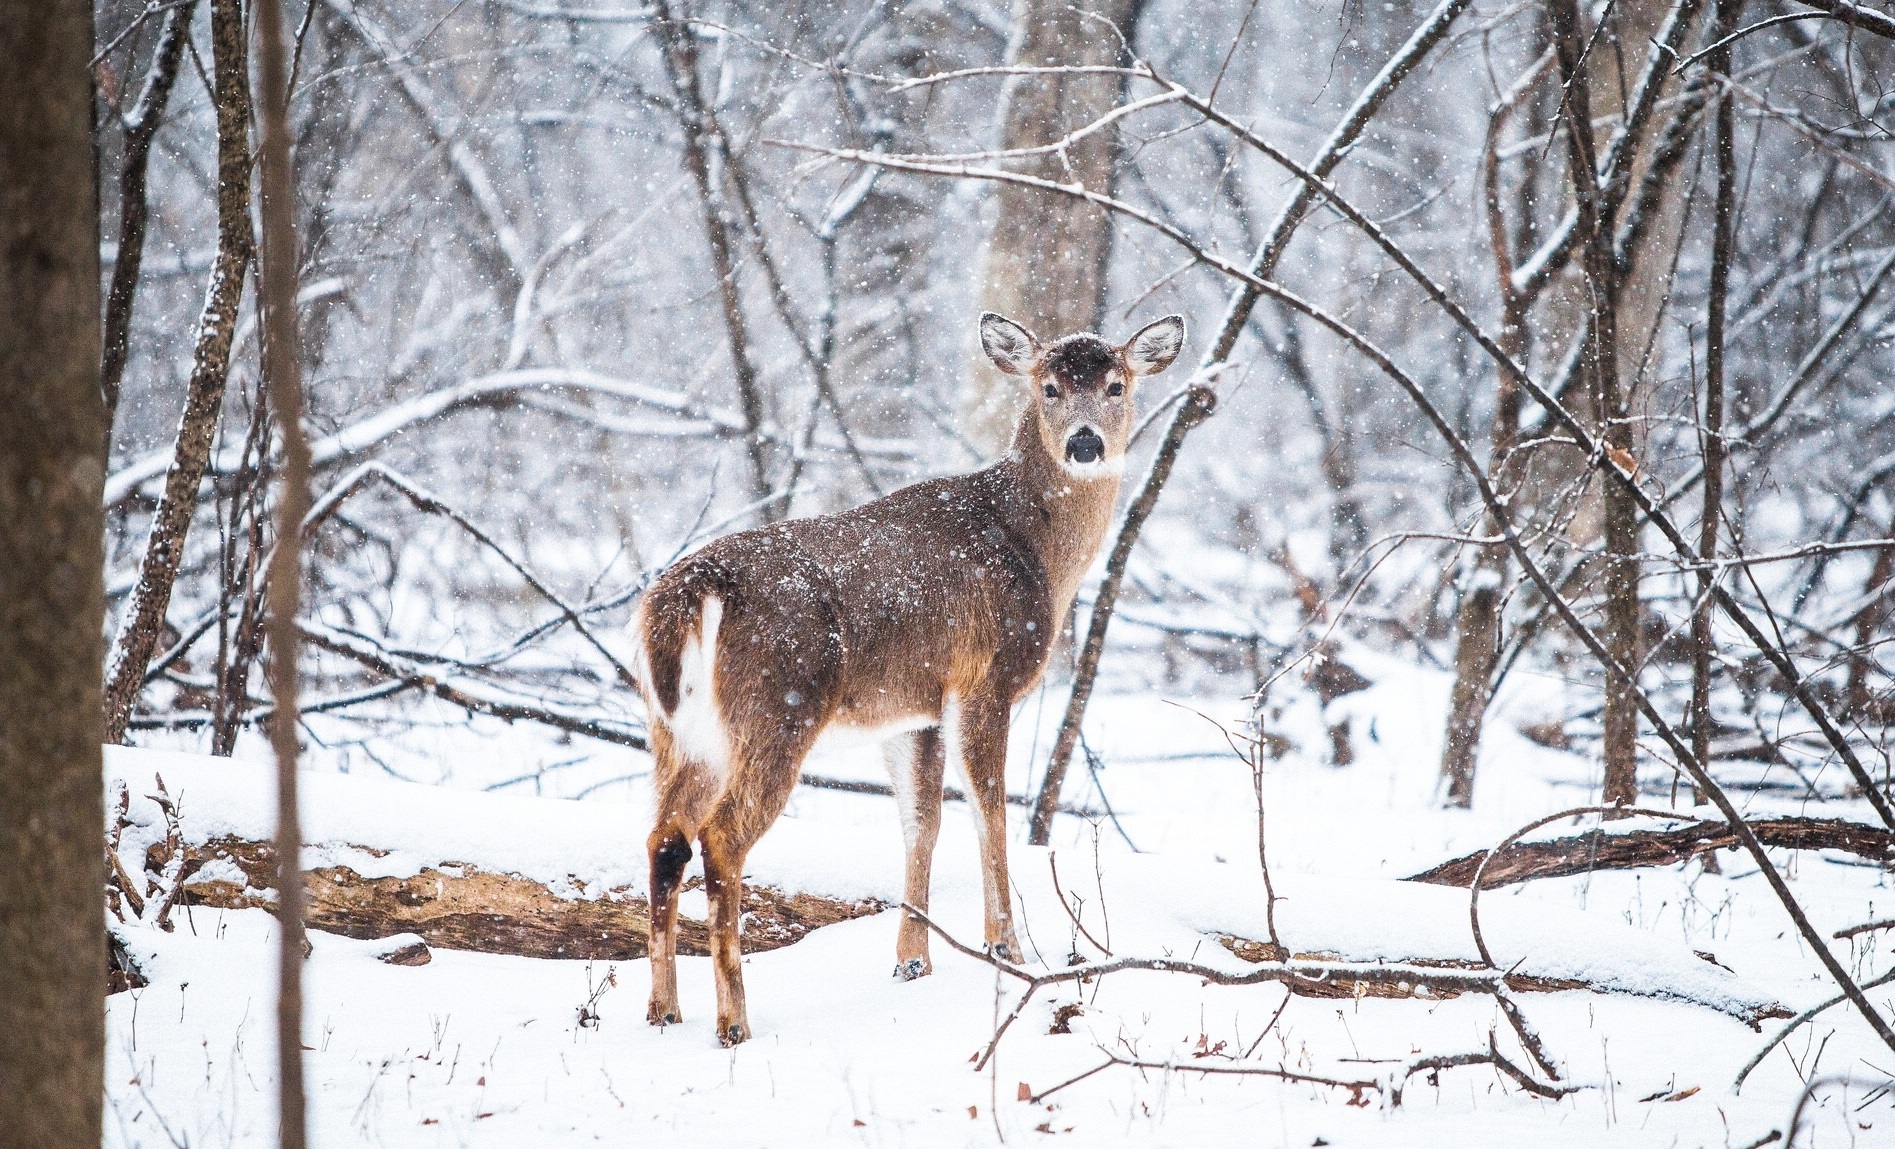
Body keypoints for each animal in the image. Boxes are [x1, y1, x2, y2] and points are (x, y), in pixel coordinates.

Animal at [631, 311, 1185, 1045]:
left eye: (1116, 384)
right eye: (1049, 387)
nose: (1086, 442)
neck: (1036, 548)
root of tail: (689, 593)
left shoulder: (912, 709)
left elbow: (921, 821)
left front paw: (912, 960)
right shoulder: (984, 678)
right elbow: (989, 813)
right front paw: (1006, 947)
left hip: (677, 730)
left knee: (665, 838)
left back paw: (662, 1009)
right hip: (778, 705)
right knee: (720, 838)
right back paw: (733, 1021)